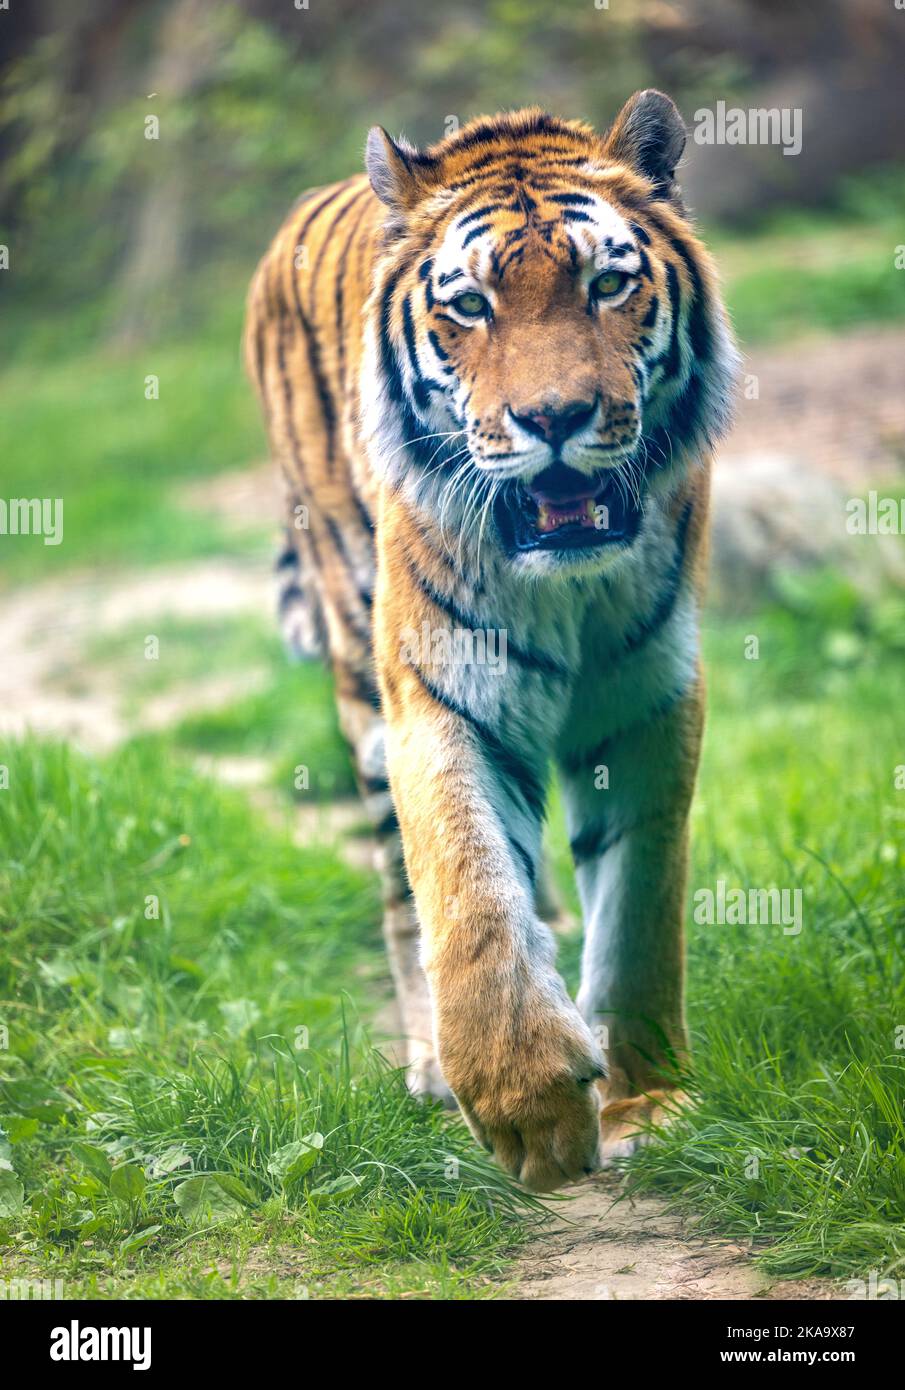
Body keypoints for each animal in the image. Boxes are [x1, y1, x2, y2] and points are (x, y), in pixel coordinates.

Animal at [244, 90, 738, 1192]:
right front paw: (527, 1110)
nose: (555, 417)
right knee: (400, 887)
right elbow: (466, 888)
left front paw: (645, 1096)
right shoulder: (438, 689)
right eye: (468, 306)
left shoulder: (649, 691)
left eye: (608, 284)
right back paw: (433, 1062)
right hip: (355, 668)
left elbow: (640, 904)